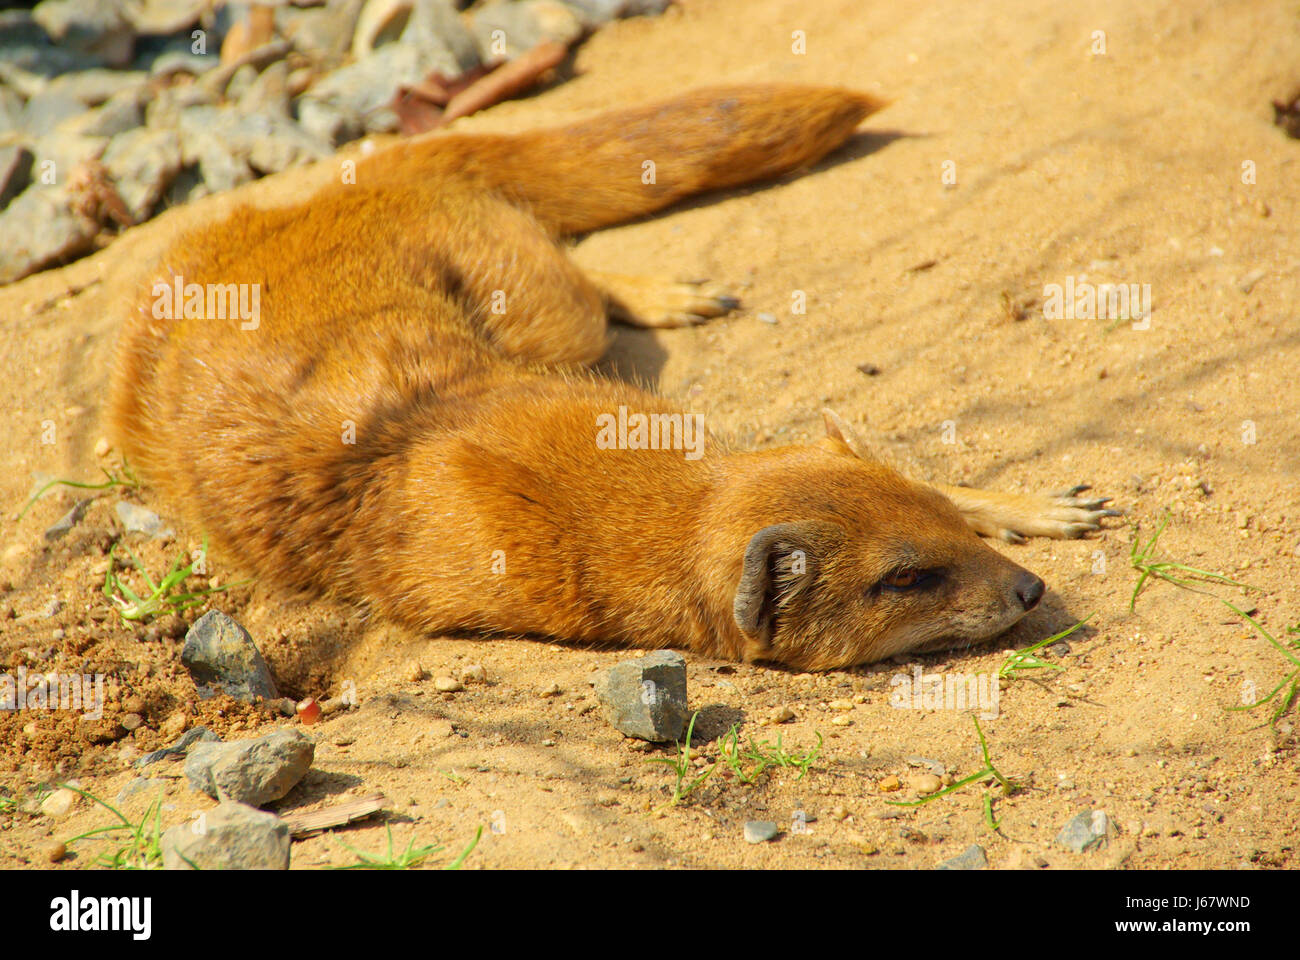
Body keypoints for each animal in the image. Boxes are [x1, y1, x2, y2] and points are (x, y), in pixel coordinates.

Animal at [109, 84, 1120, 672]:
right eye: (906, 579)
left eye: (942, 520)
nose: (1028, 591)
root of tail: (317, 193)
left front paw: (1033, 503)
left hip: (539, 309)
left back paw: (669, 290)